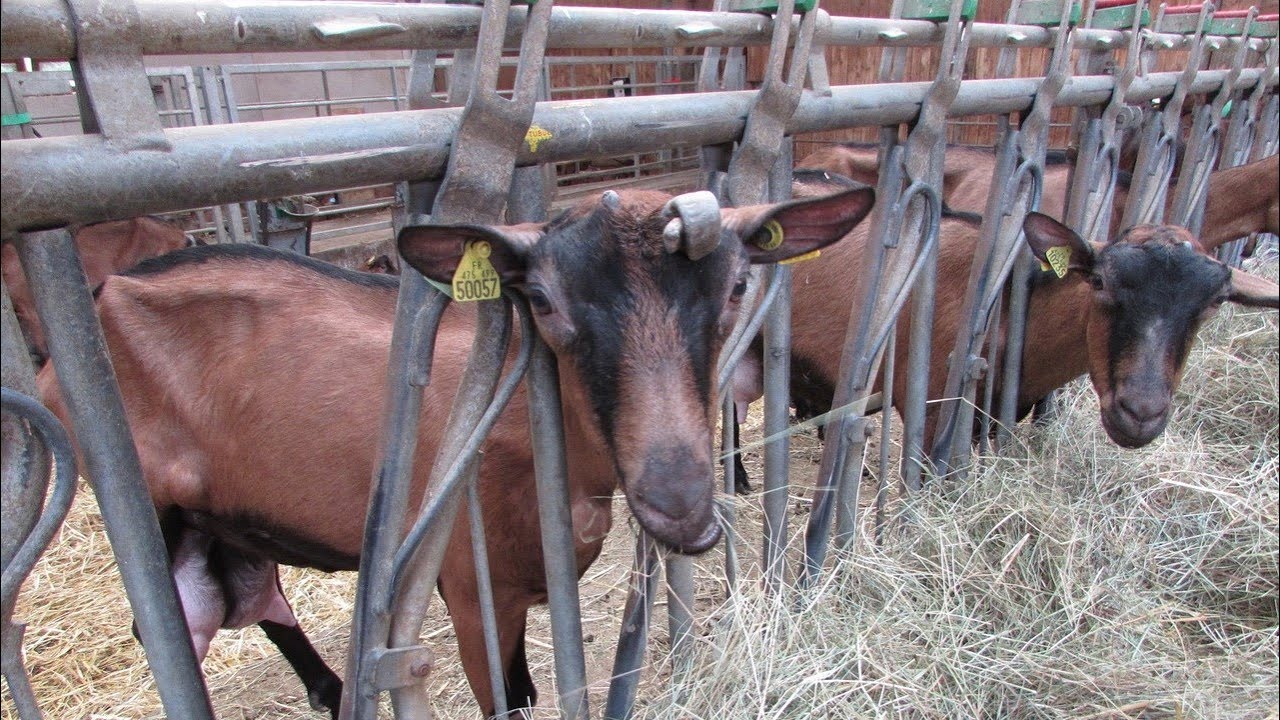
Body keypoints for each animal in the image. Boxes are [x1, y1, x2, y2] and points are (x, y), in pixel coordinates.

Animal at [36, 187, 875, 718]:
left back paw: (330, 691)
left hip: (224, 522)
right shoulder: (472, 590)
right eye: (542, 302)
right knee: (172, 625)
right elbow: (510, 697)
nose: (683, 504)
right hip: (151, 507)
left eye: (736, 287)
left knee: (248, 602)